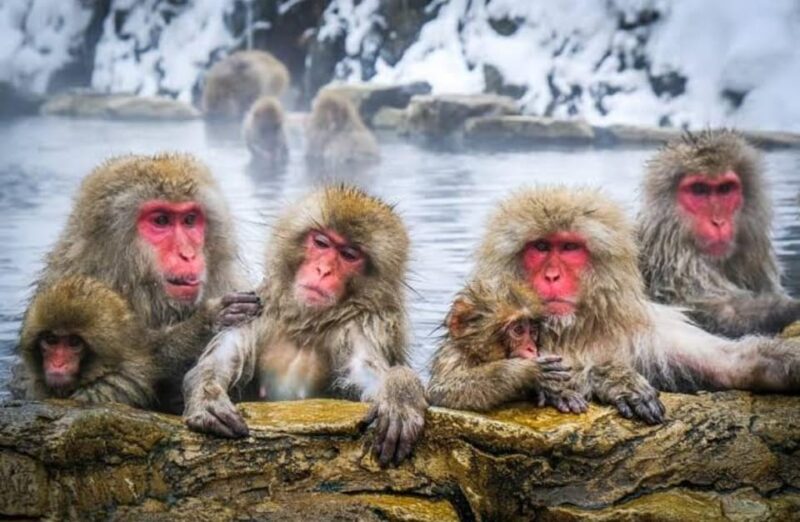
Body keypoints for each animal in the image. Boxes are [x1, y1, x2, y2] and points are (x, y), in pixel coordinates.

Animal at [183, 185, 427, 467]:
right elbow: (220, 360)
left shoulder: (360, 327)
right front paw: (207, 397)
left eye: (349, 255)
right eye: (321, 243)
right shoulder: (257, 308)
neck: (305, 324)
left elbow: (366, 371)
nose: (323, 270)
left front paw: (400, 393)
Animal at [427, 279, 587, 413]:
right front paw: (526, 371)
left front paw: (559, 393)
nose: (531, 348)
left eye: (533, 331)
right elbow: (440, 391)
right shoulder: (453, 357)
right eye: (518, 330)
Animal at [472, 186, 800, 424]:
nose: (552, 276)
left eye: (569, 247)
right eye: (540, 247)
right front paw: (609, 378)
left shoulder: (654, 331)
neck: (574, 330)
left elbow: (733, 364)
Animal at [638, 130, 800, 337]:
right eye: (699, 189)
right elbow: (711, 313)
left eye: (725, 189)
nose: (718, 222)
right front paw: (790, 309)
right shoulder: (675, 269)